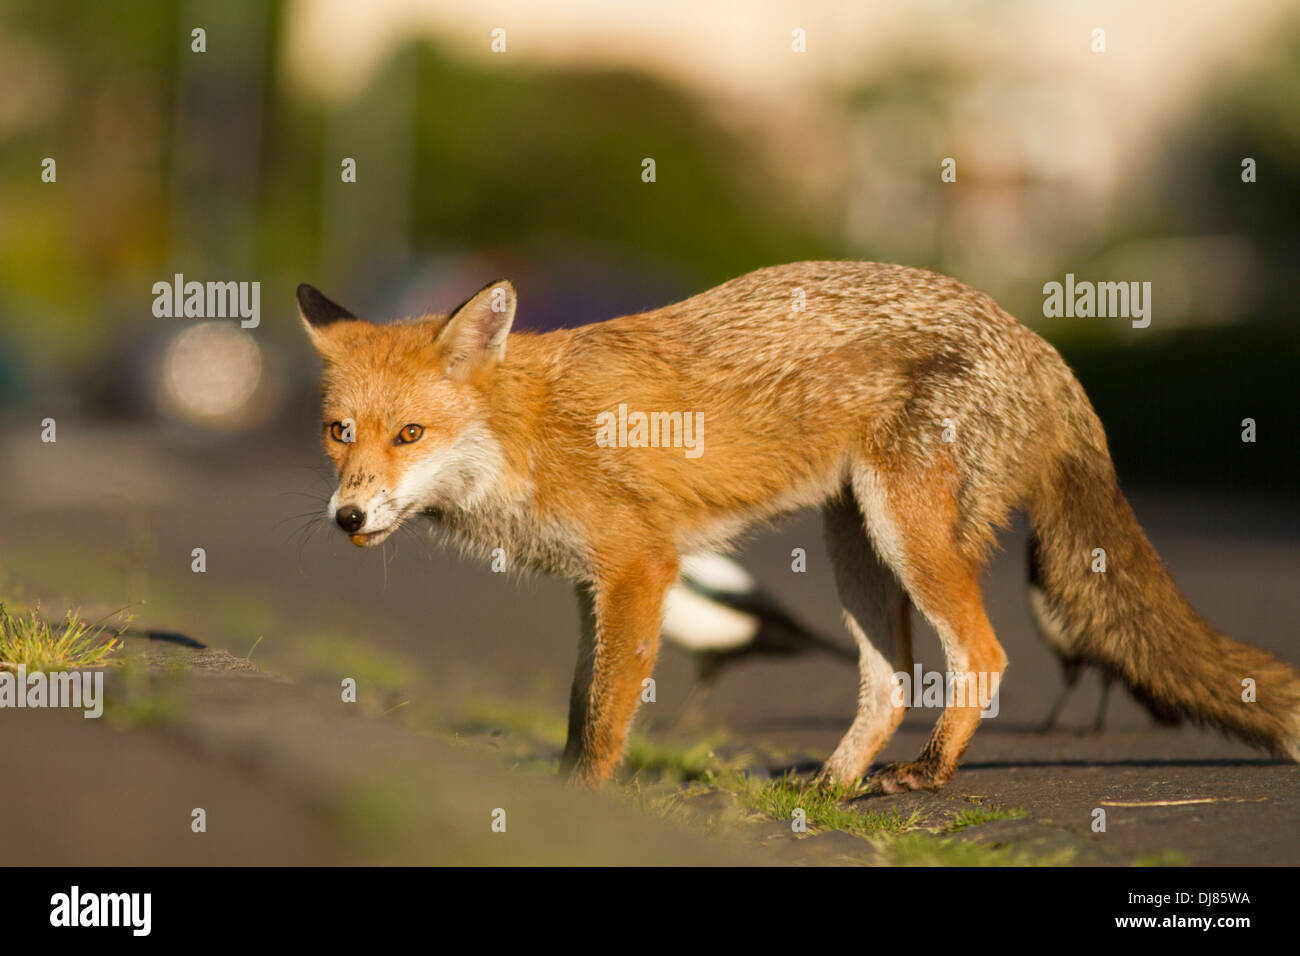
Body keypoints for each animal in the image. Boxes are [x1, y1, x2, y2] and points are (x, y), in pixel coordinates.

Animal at [297, 261, 1300, 793]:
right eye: (341, 432)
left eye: (410, 434)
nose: (347, 514)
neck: (529, 431)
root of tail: (1041, 343)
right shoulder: (595, 584)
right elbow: (579, 707)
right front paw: (563, 790)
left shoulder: (640, 569)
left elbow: (609, 716)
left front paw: (585, 804)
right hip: (854, 546)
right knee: (891, 682)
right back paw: (833, 785)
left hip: (908, 537)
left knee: (982, 656)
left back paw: (928, 773)